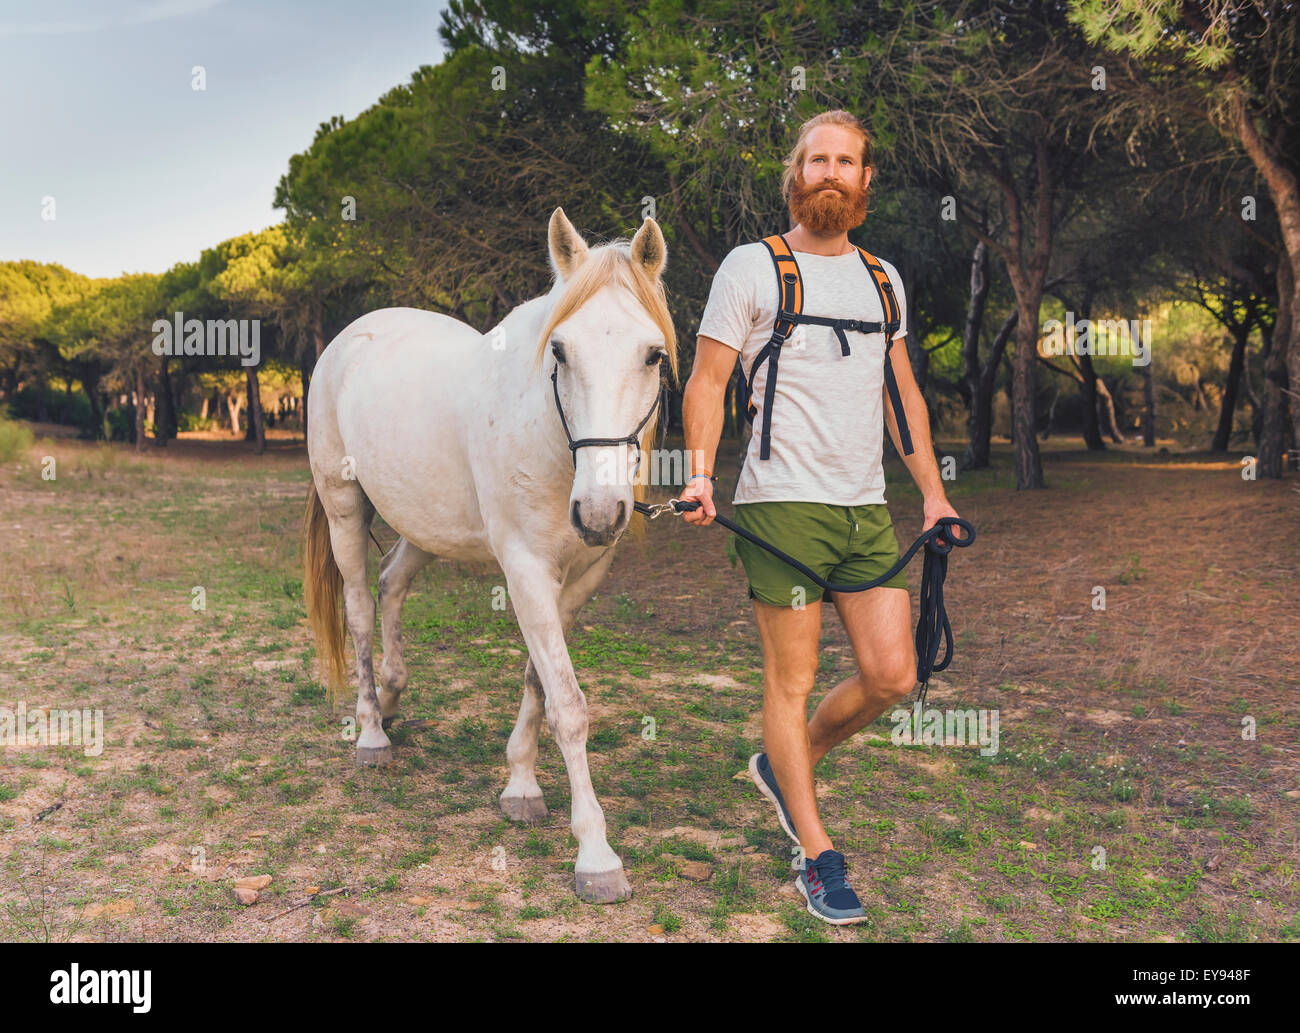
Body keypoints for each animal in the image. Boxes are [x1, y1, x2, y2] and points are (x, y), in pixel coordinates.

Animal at [301, 208, 678, 903]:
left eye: (653, 354)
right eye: (560, 351)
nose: (600, 512)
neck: (548, 434)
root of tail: (349, 339)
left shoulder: (578, 578)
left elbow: (539, 681)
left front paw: (521, 784)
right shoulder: (526, 569)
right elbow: (568, 705)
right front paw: (595, 855)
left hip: (425, 527)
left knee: (393, 584)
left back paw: (392, 698)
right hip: (345, 512)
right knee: (362, 608)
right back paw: (371, 731)